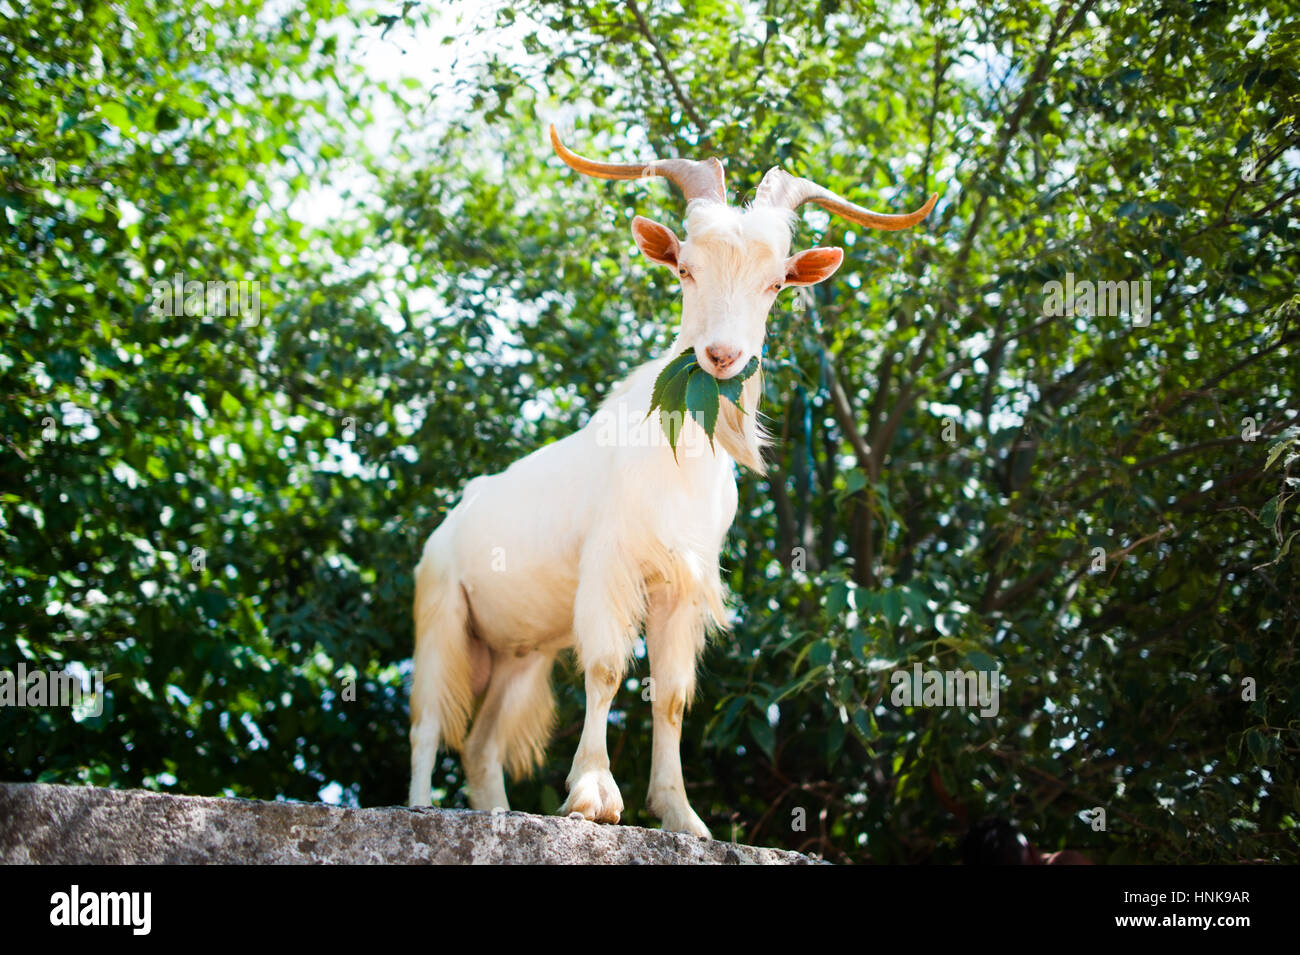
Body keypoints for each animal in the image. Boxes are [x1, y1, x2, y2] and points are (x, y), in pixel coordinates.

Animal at [408, 126, 936, 838]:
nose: (721, 356)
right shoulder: (611, 566)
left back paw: (496, 814)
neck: (677, 463)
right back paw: (417, 807)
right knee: (429, 721)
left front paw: (682, 815)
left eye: (776, 283)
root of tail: (451, 521)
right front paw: (592, 797)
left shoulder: (680, 584)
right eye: (686, 268)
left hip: (521, 652)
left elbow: (674, 697)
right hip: (442, 614)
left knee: (481, 742)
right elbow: (606, 670)